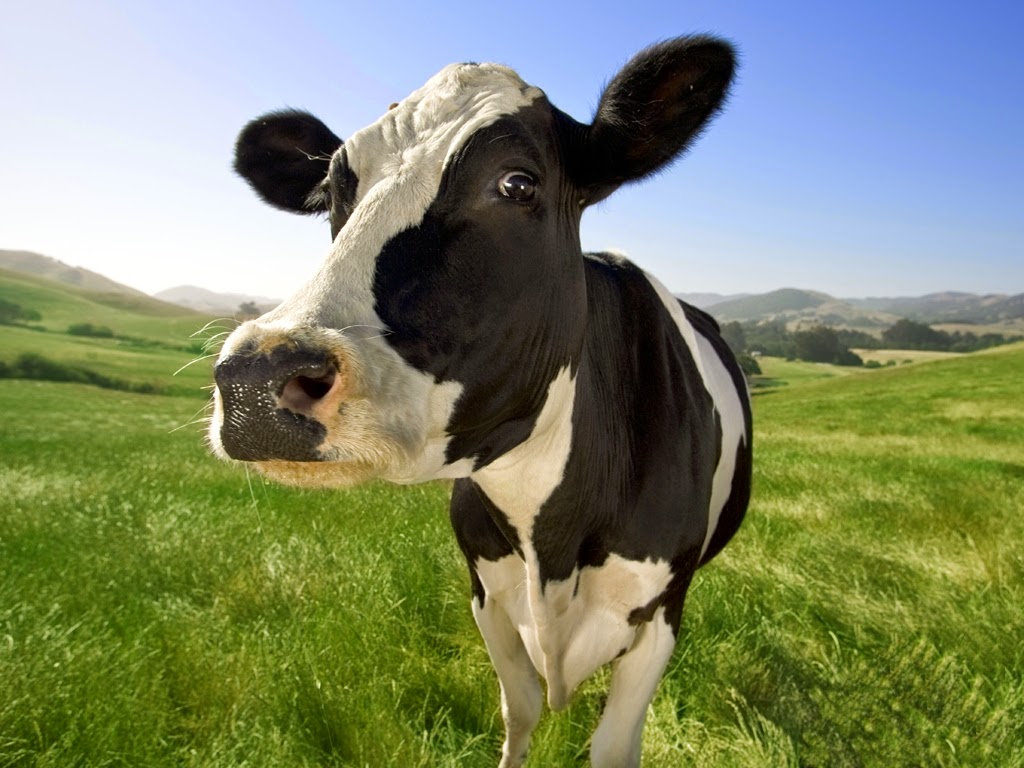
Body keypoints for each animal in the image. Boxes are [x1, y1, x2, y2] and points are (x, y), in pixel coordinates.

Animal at [209, 35, 752, 768]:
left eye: (517, 184)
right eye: (332, 196)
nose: (255, 377)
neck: (551, 539)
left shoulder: (661, 613)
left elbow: (612, 745)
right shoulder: (486, 595)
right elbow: (519, 711)